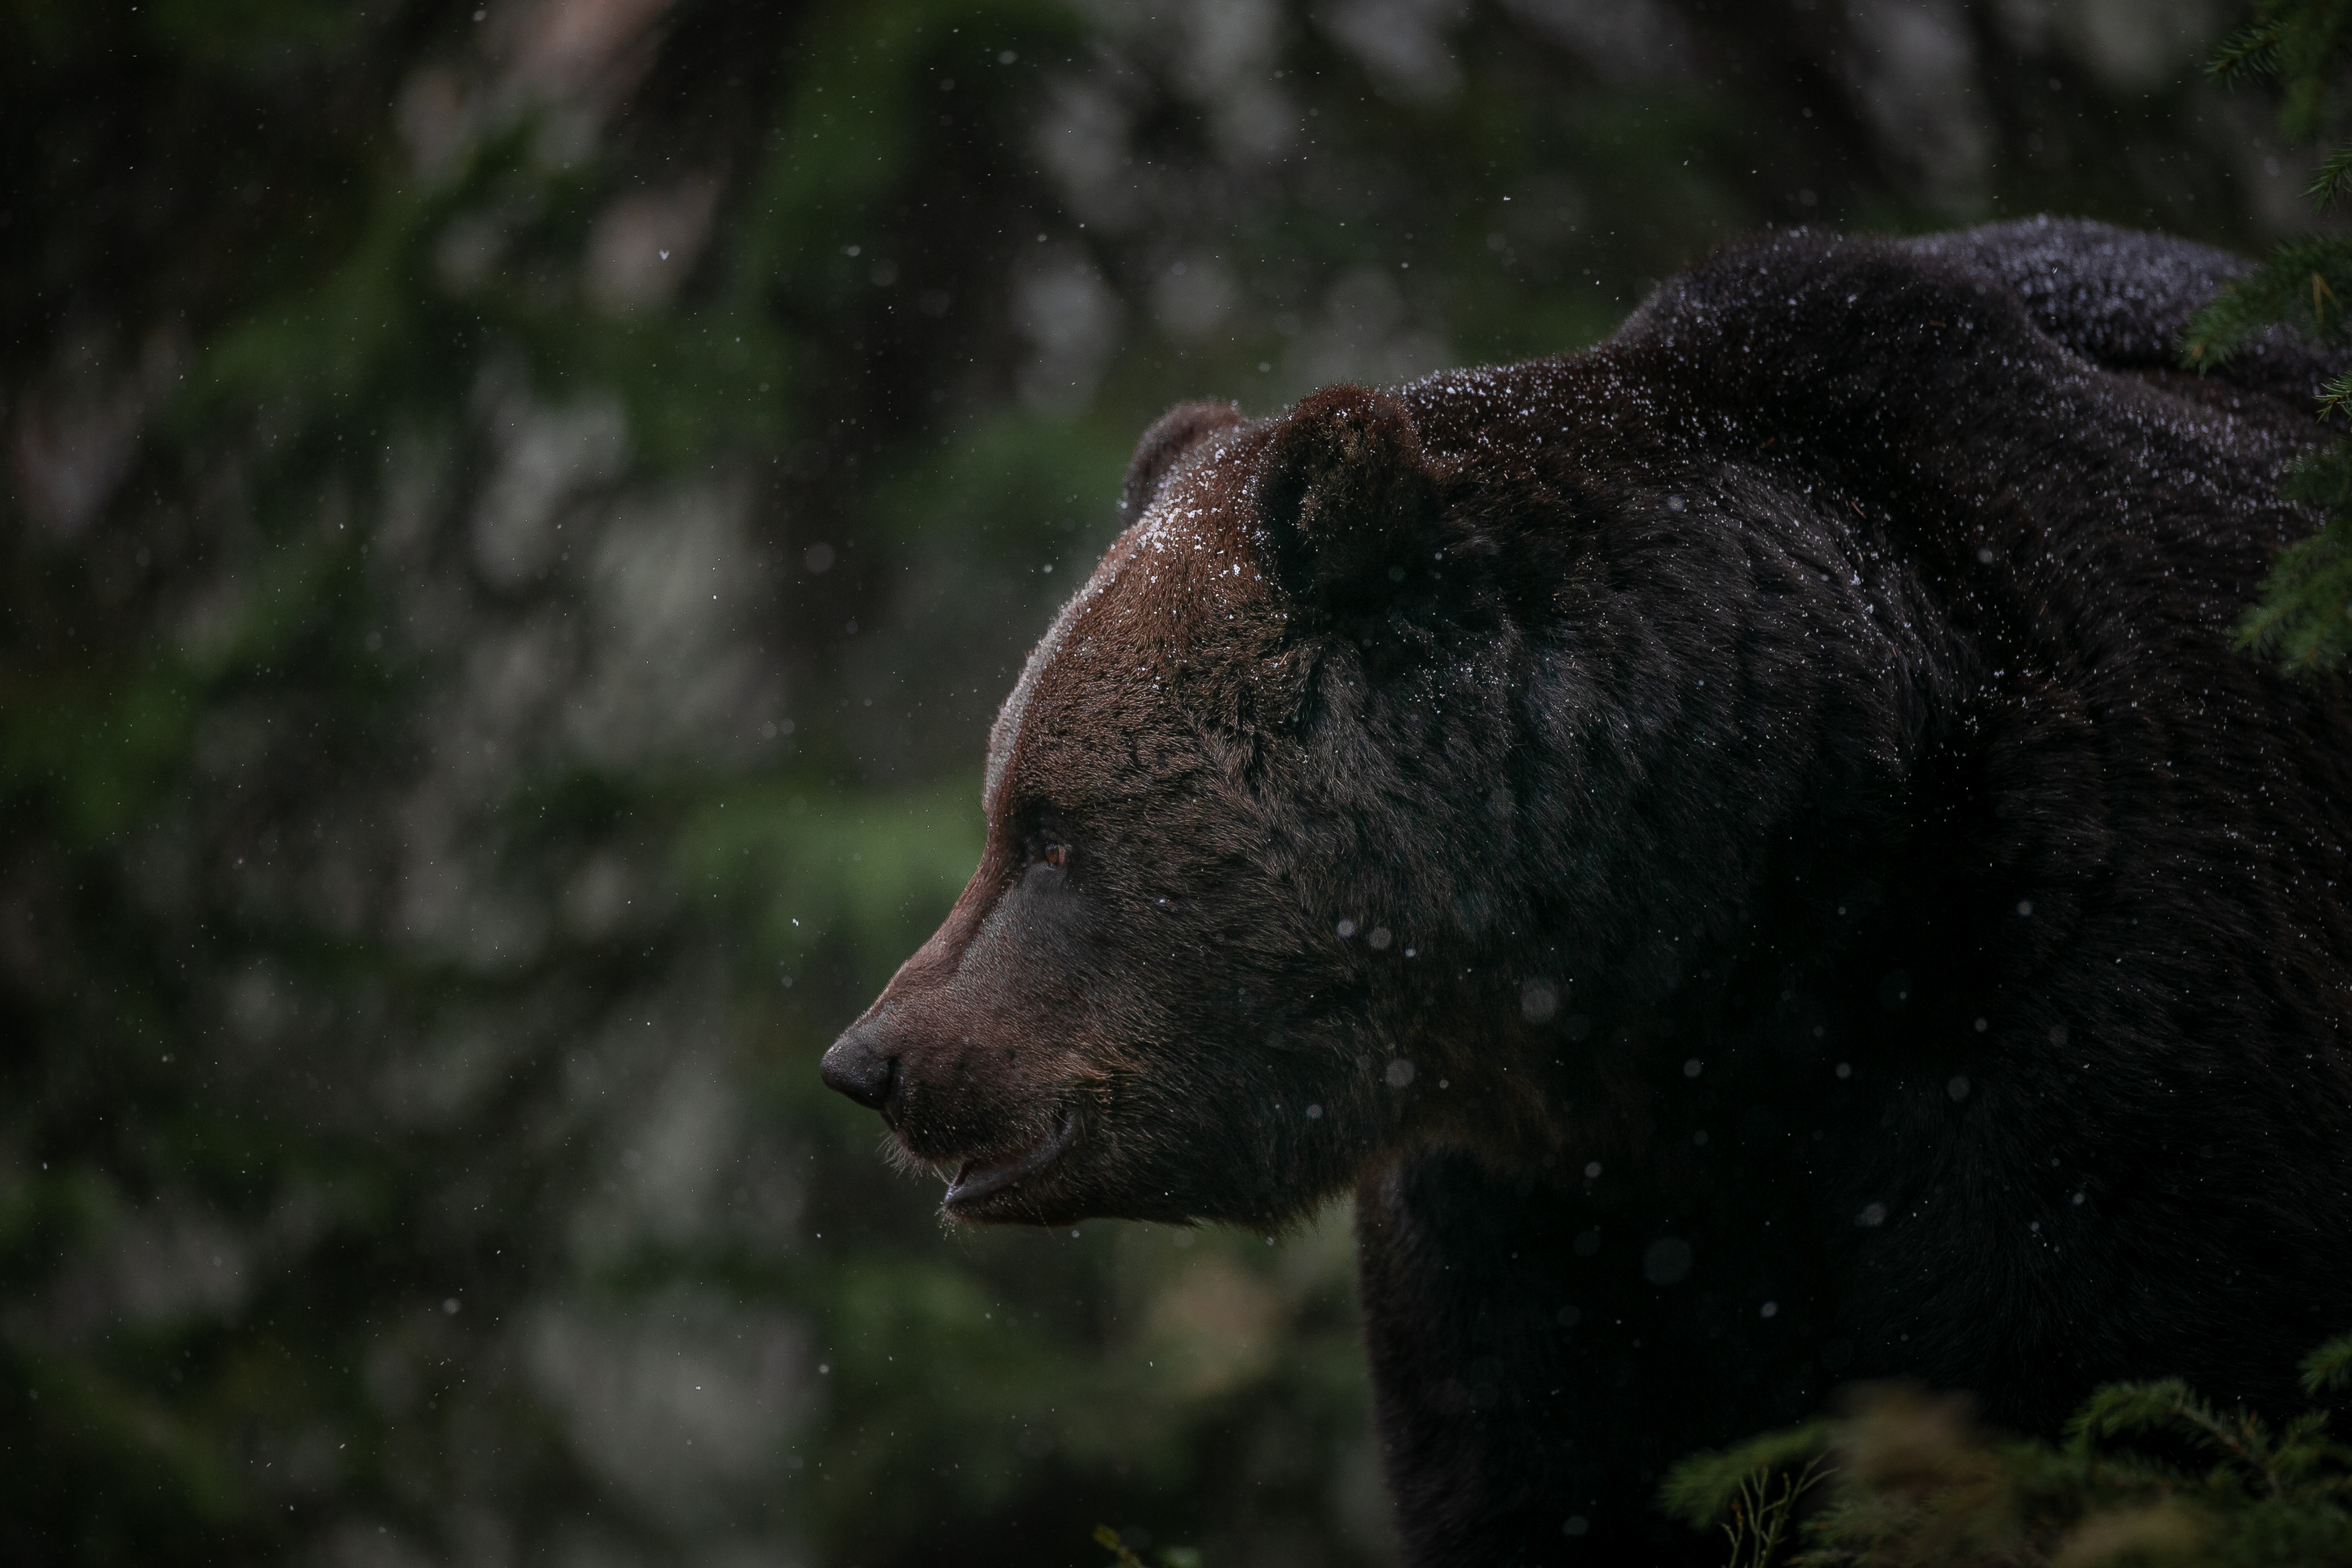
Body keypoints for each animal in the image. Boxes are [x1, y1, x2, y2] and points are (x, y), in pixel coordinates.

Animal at [821, 218, 2352, 1565]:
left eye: (1051, 830)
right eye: (1003, 809)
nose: (871, 1060)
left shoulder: (2083, 1023)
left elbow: (2123, 1392)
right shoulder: (1529, 1219)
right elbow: (1532, 1475)